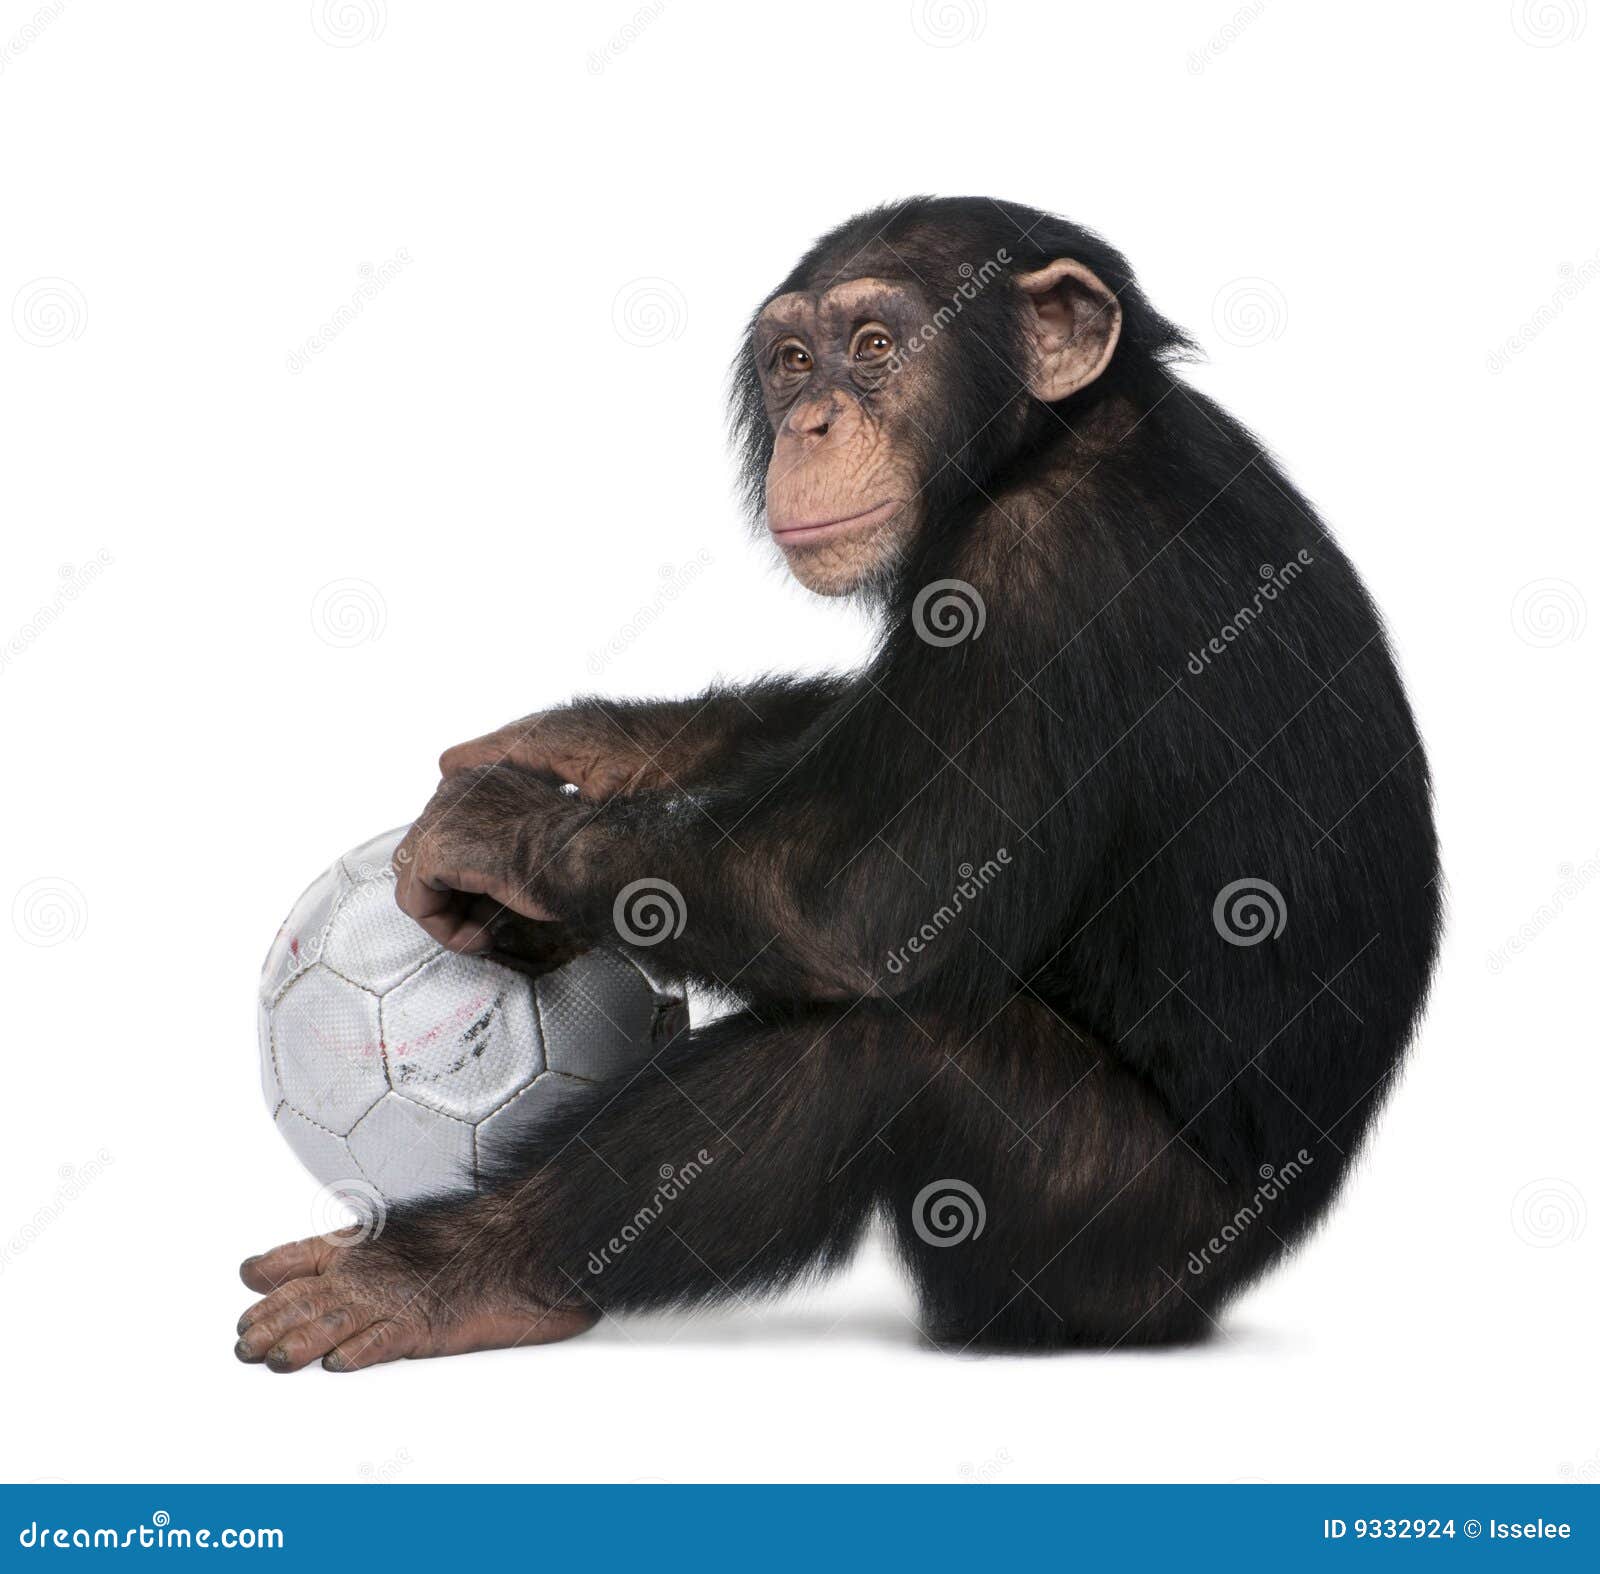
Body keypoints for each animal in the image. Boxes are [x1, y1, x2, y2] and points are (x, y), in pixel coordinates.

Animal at [235, 196, 1440, 1373]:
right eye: (792, 360)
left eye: (873, 348)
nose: (812, 422)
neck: (1038, 446)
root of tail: (1218, 1293)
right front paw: (584, 748)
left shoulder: (1039, 578)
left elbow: (863, 904)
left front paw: (495, 832)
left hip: (1114, 1245)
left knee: (877, 1046)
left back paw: (458, 1276)